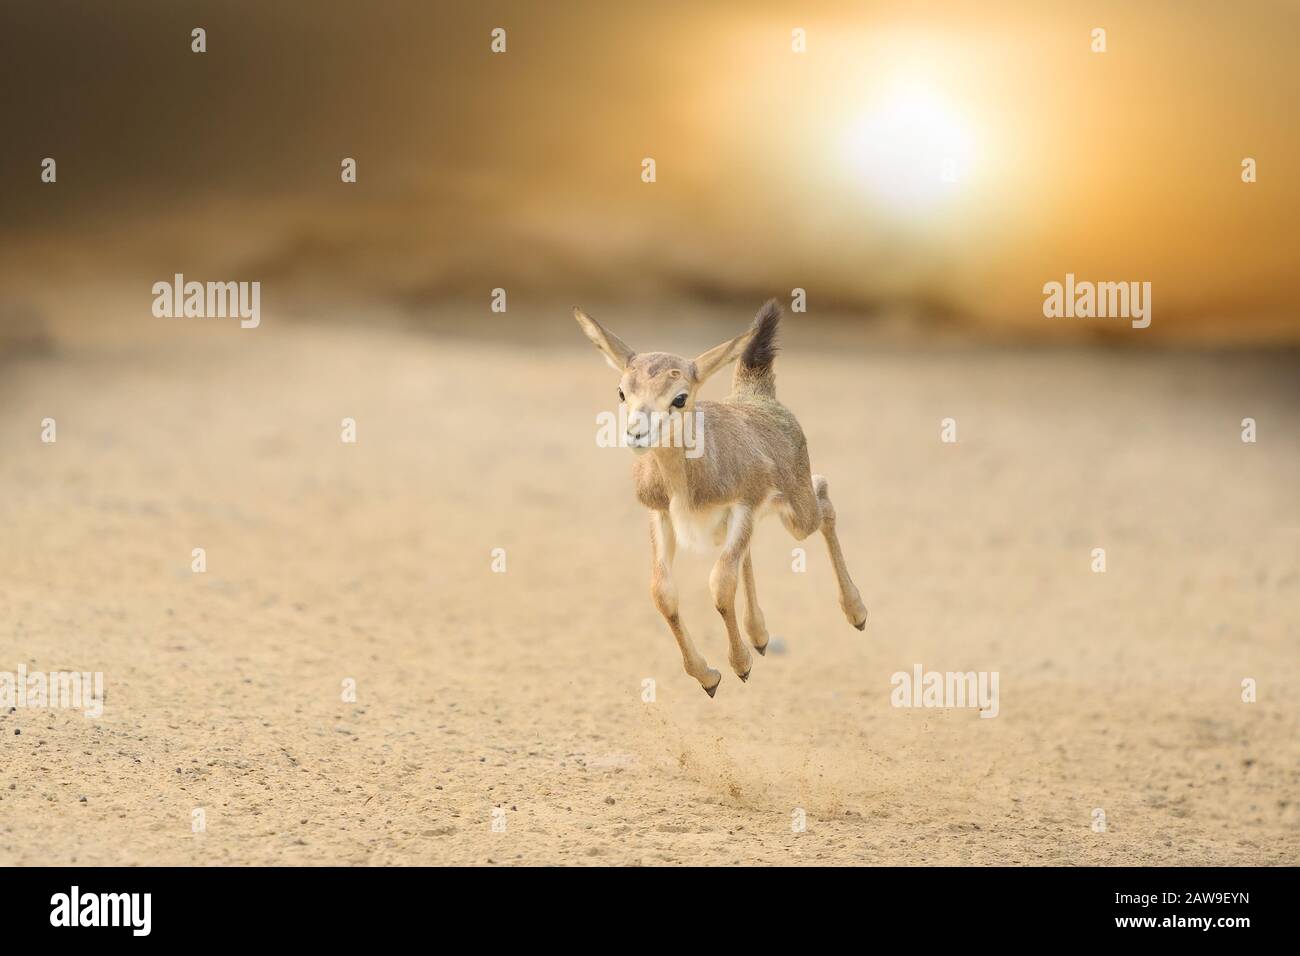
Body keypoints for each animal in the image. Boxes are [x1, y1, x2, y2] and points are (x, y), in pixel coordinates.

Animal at [573, 300, 869, 697]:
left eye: (680, 397)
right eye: (622, 391)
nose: (636, 433)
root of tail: (758, 395)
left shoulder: (744, 505)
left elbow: (720, 584)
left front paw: (739, 666)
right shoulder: (662, 515)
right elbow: (663, 592)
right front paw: (708, 676)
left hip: (797, 515)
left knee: (822, 496)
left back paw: (856, 613)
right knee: (749, 551)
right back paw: (759, 635)